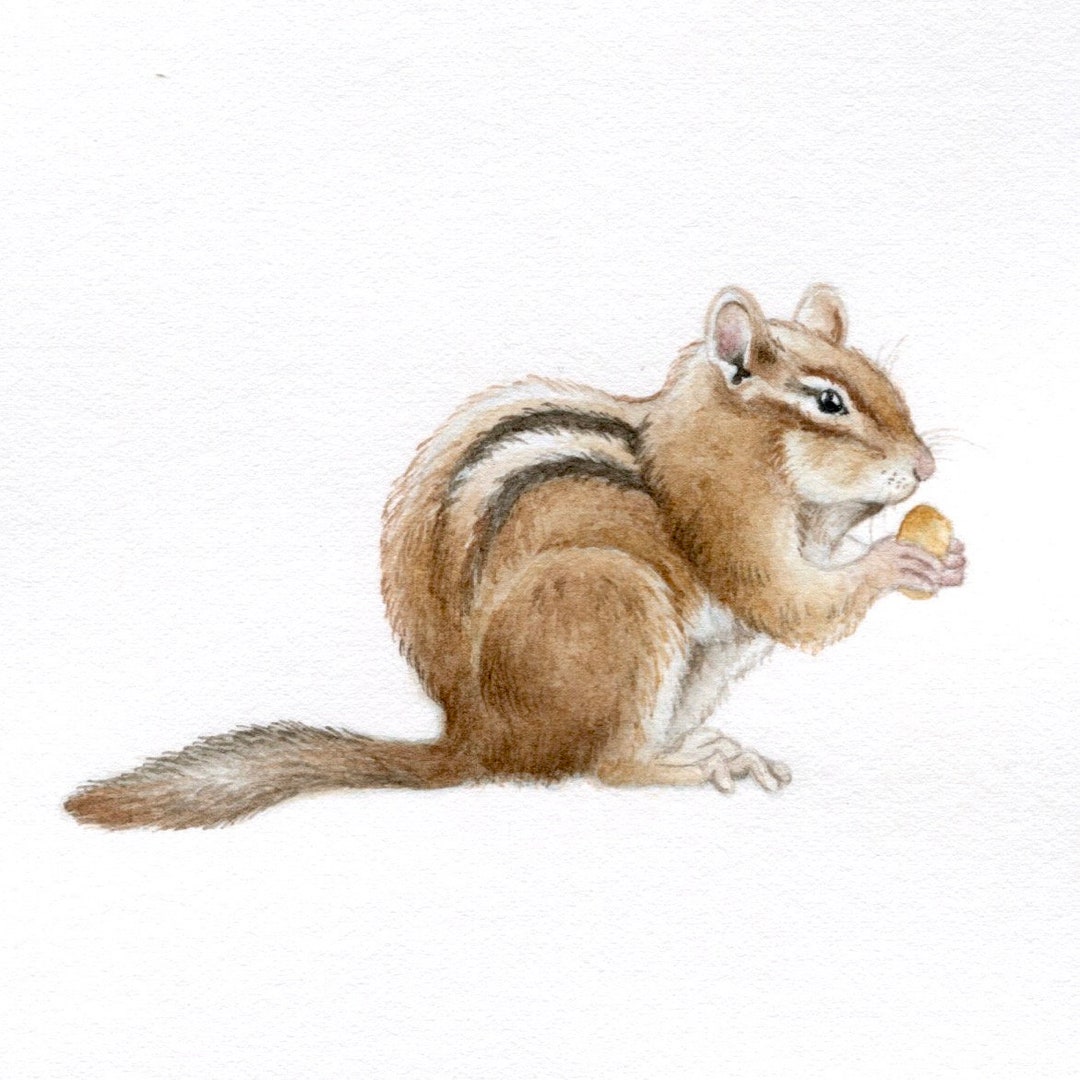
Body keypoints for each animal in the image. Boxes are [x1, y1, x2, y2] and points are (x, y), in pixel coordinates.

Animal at [65, 283, 966, 829]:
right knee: (607, 769)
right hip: (613, 598)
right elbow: (793, 603)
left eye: (884, 383)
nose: (924, 467)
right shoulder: (729, 519)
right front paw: (901, 562)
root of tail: (477, 739)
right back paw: (684, 768)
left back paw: (709, 747)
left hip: (700, 660)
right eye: (829, 402)